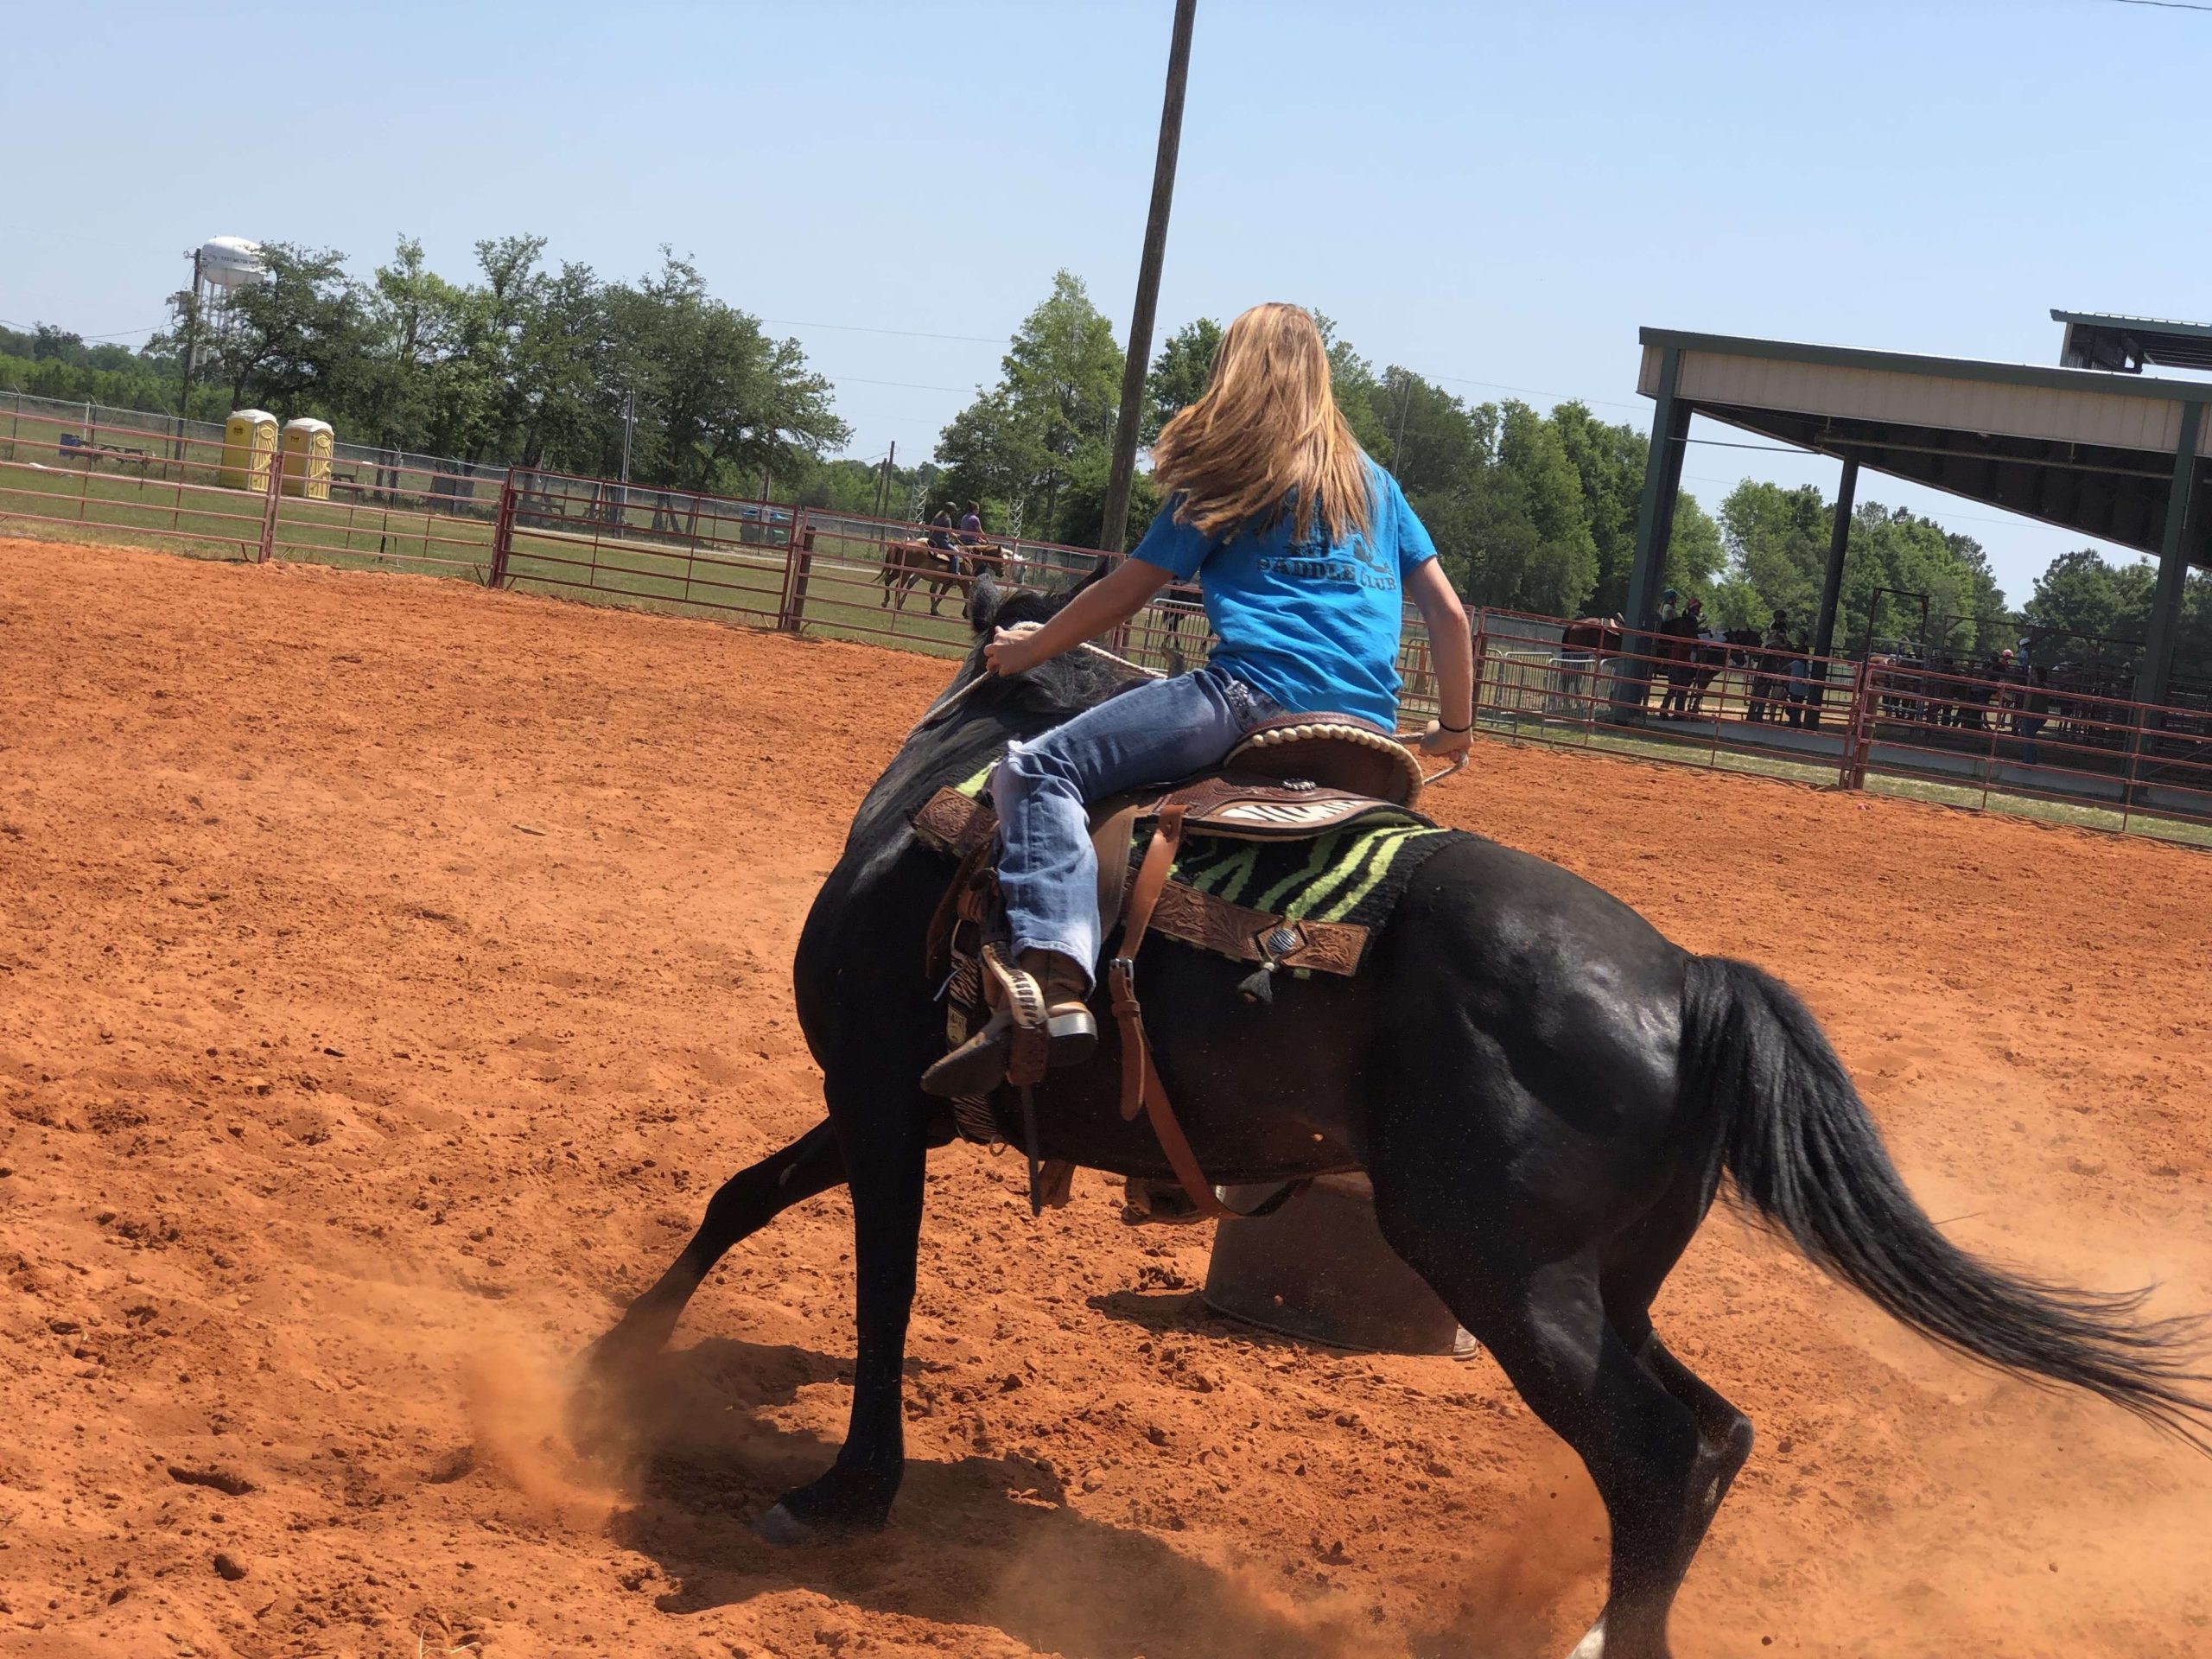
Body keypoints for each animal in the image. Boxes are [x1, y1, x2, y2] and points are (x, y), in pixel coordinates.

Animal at [585, 568, 2211, 1659]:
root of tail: (1691, 981)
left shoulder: (877, 1097)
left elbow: (881, 1293)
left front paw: (840, 1494)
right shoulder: (902, 1108)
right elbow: (743, 1195)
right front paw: (620, 1355)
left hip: (1501, 1272)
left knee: (1659, 1458)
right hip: (1603, 1283)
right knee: (1718, 1434)